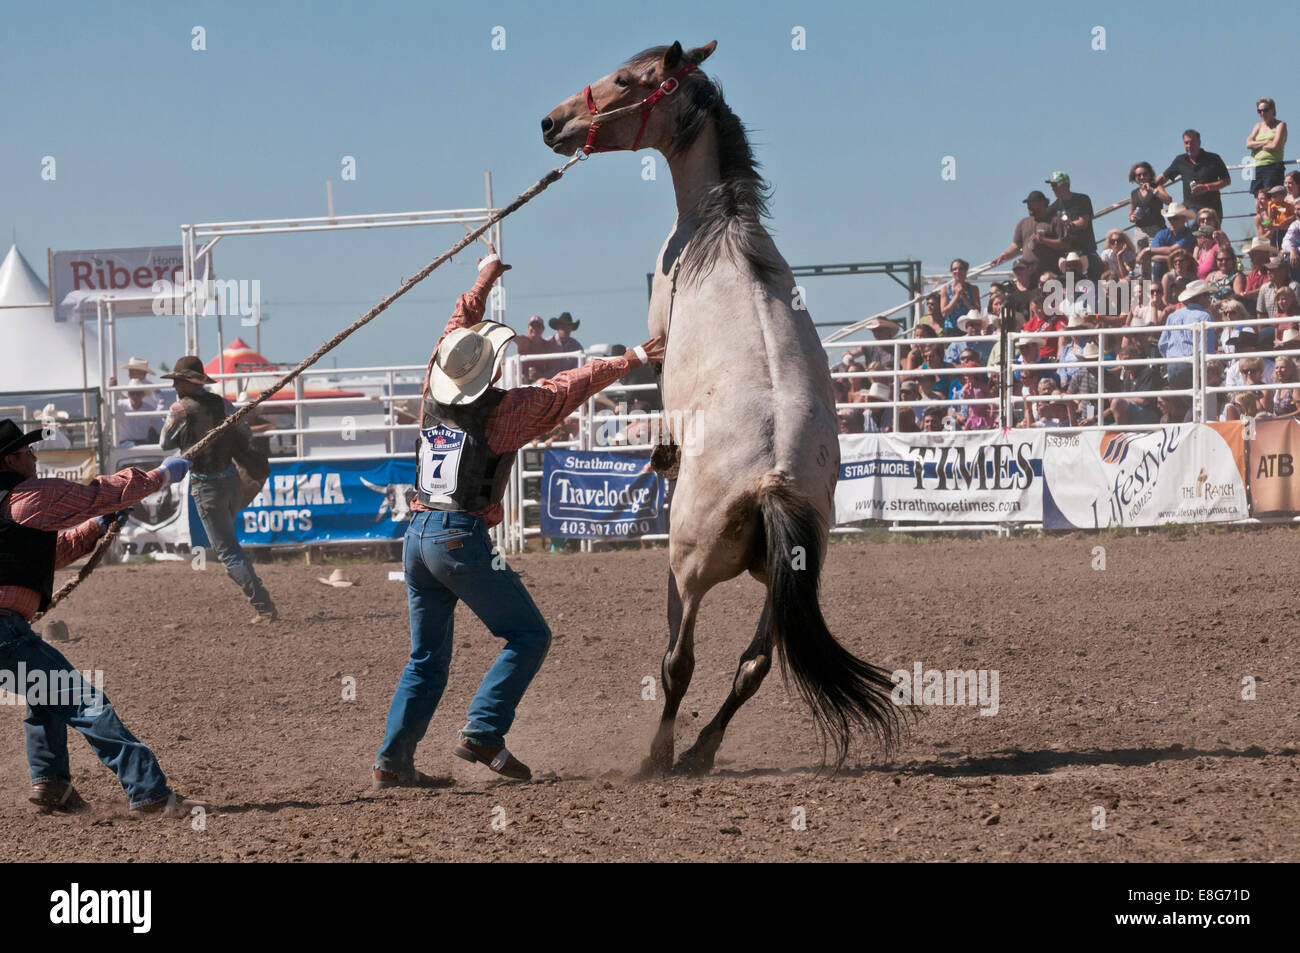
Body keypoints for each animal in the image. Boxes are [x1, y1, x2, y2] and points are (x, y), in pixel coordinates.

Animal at [542, 41, 900, 774]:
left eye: (626, 79)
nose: (553, 122)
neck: (722, 229)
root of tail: (771, 482)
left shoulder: (657, 338)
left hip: (688, 565)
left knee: (679, 658)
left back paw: (658, 756)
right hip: (786, 580)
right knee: (754, 664)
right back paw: (702, 750)